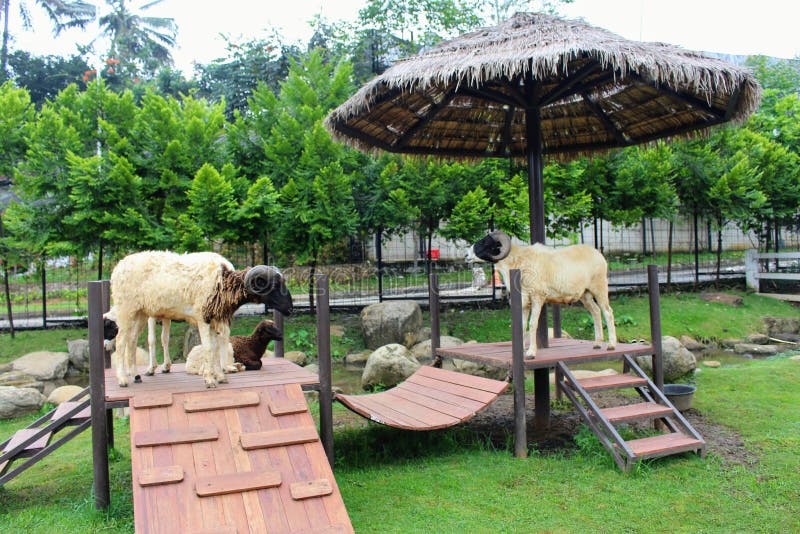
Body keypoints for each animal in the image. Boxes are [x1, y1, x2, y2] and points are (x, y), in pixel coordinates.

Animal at [110, 251, 293, 388]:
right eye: (274, 285)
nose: (290, 309)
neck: (222, 281)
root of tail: (118, 267)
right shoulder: (202, 318)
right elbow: (209, 348)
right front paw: (210, 380)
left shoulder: (215, 319)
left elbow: (216, 348)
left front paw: (220, 377)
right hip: (125, 309)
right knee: (120, 341)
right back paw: (123, 379)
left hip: (140, 312)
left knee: (132, 340)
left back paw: (136, 376)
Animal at [466, 231, 616, 358]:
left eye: (485, 243)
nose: (466, 256)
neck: (518, 262)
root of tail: (598, 253)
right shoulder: (524, 302)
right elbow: (522, 325)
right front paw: (522, 350)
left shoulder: (538, 297)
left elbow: (532, 324)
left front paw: (531, 353)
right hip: (585, 294)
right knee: (596, 311)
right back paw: (597, 344)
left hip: (599, 288)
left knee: (607, 312)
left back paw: (611, 345)